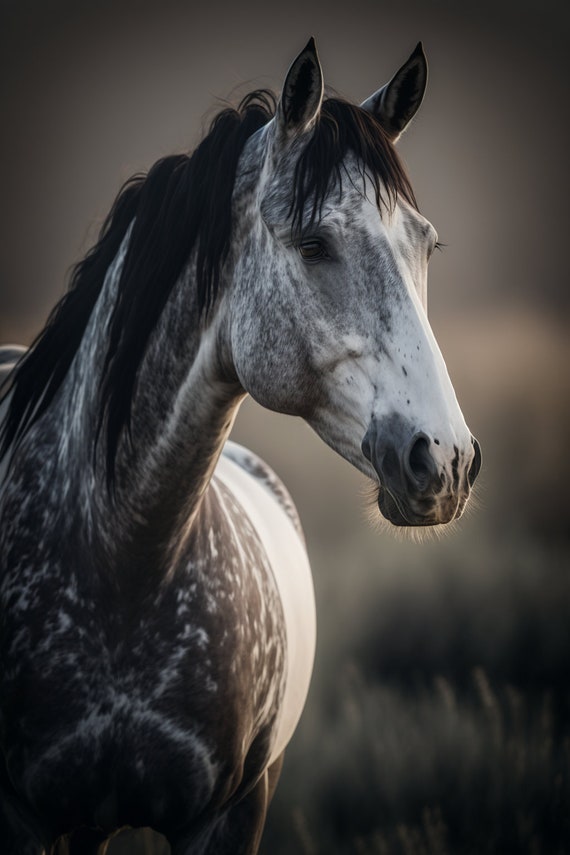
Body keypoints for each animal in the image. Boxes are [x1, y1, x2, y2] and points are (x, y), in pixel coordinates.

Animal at [0, 38, 481, 855]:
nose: (444, 459)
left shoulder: (227, 816)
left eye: (428, 244)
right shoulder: (25, 818)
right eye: (315, 243)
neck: (119, 557)